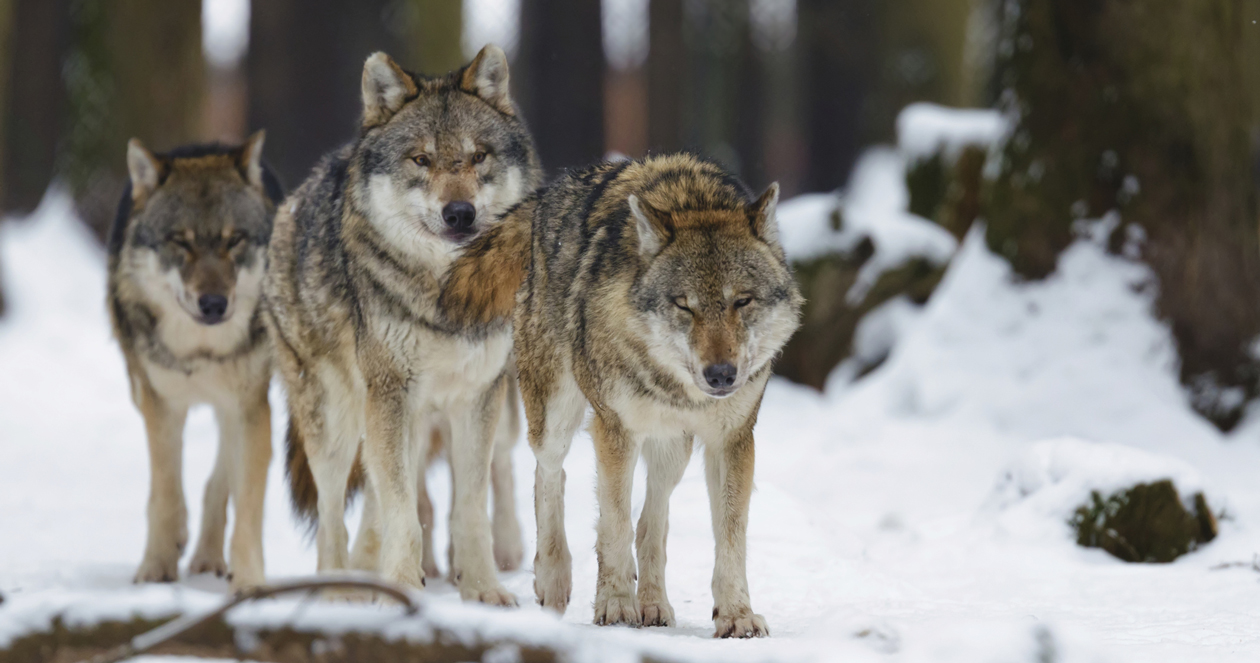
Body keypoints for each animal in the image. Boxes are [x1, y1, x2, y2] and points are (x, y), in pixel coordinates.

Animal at [107, 133, 283, 591]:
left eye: (234, 239)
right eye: (180, 241)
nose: (214, 303)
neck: (202, 352)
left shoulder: (249, 407)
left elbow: (247, 506)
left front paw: (250, 583)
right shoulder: (161, 405)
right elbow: (165, 494)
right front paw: (155, 569)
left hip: (236, 407)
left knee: (220, 481)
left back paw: (207, 555)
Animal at [265, 45, 541, 603]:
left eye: (478, 157)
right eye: (421, 159)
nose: (460, 213)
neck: (447, 295)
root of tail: (291, 203)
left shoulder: (477, 395)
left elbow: (469, 508)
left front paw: (483, 589)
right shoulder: (392, 394)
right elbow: (402, 513)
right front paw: (401, 587)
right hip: (338, 419)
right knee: (334, 511)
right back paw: (340, 589)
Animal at [443, 154, 802, 636]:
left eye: (742, 301)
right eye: (684, 305)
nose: (722, 375)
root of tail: (548, 193)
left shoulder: (733, 440)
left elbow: (730, 536)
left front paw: (736, 615)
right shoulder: (614, 431)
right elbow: (613, 527)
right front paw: (614, 605)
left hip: (673, 447)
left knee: (652, 517)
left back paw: (653, 605)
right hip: (557, 415)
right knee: (549, 475)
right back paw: (554, 579)